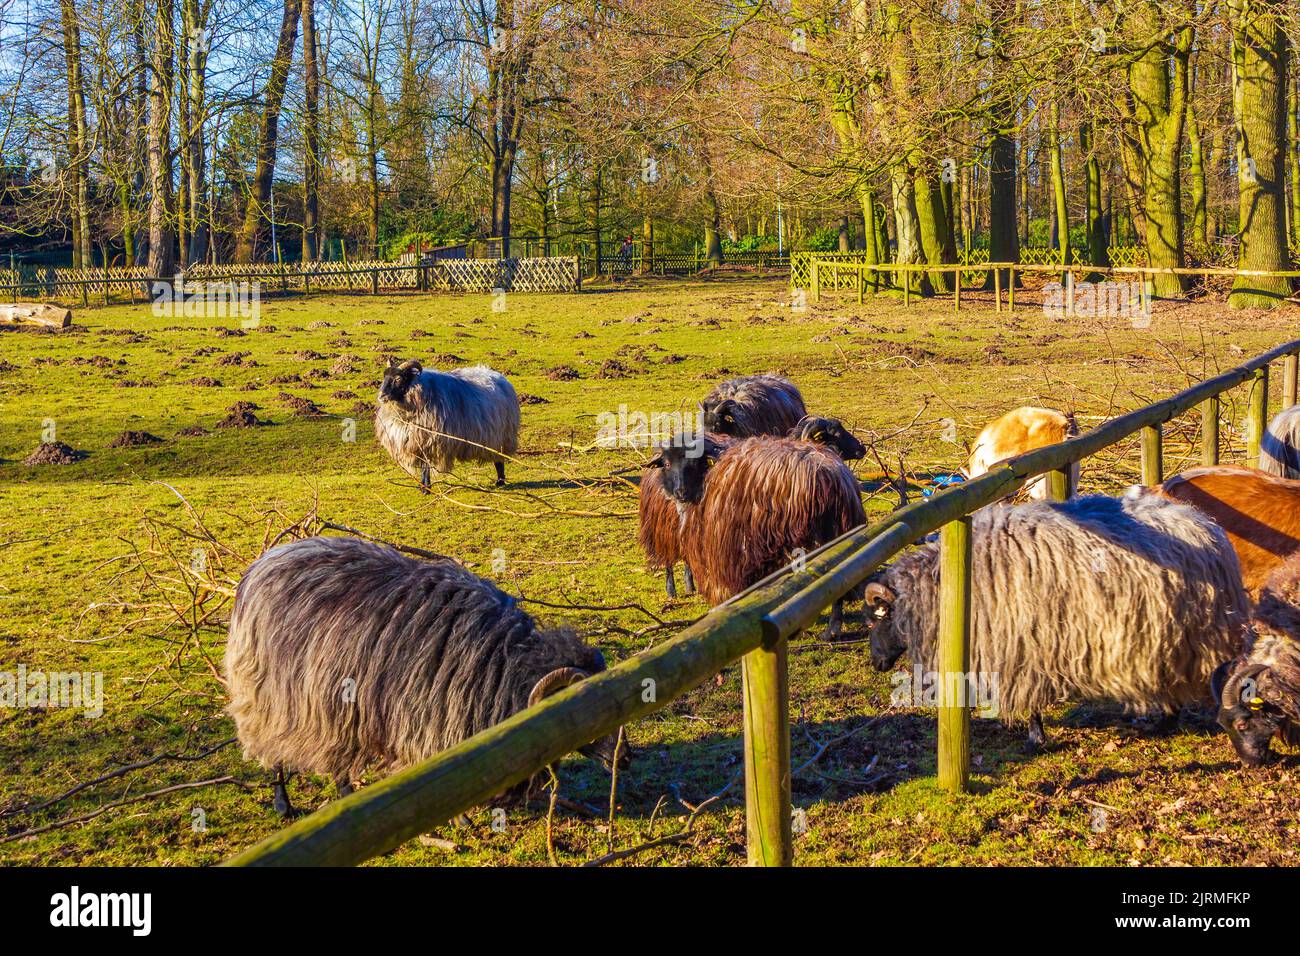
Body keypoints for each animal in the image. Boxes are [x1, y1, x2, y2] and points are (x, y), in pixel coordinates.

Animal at [224, 535, 624, 816]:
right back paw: (285, 803)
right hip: (270, 692)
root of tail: (260, 565)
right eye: (581, 707)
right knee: (273, 748)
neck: (503, 666)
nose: (624, 757)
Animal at [373, 357, 520, 490]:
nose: (381, 396)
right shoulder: (416, 441)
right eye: (384, 376)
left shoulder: (429, 441)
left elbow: (426, 466)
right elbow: (423, 466)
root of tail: (499, 377)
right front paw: (422, 486)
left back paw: (500, 481)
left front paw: (426, 489)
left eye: (398, 379)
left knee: (499, 460)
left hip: (501, 435)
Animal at [649, 435, 866, 636]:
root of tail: (832, 477)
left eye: (694, 463)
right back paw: (832, 629)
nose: (681, 492)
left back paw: (829, 630)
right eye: (667, 464)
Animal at [865, 492, 1249, 749]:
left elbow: (1030, 699)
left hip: (1183, 635)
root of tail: (1209, 530)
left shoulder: (1022, 647)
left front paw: (1036, 737)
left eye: (874, 620)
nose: (876, 664)